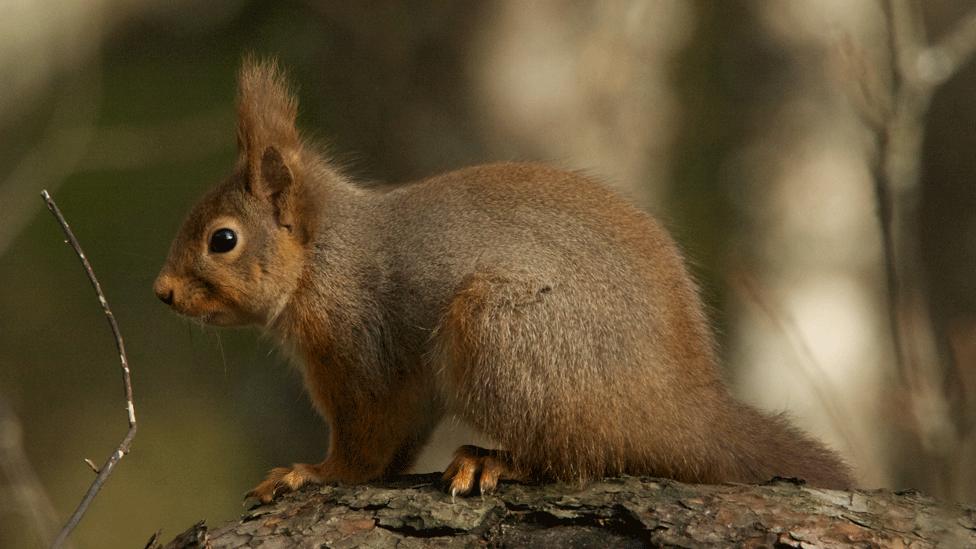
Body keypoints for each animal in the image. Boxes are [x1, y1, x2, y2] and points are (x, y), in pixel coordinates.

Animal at [153, 58, 853, 503]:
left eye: (223, 240)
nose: (162, 292)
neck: (325, 257)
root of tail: (680, 408)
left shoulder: (362, 352)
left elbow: (364, 445)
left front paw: (313, 473)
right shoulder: (403, 386)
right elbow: (396, 445)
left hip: (503, 335)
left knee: (576, 458)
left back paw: (492, 460)